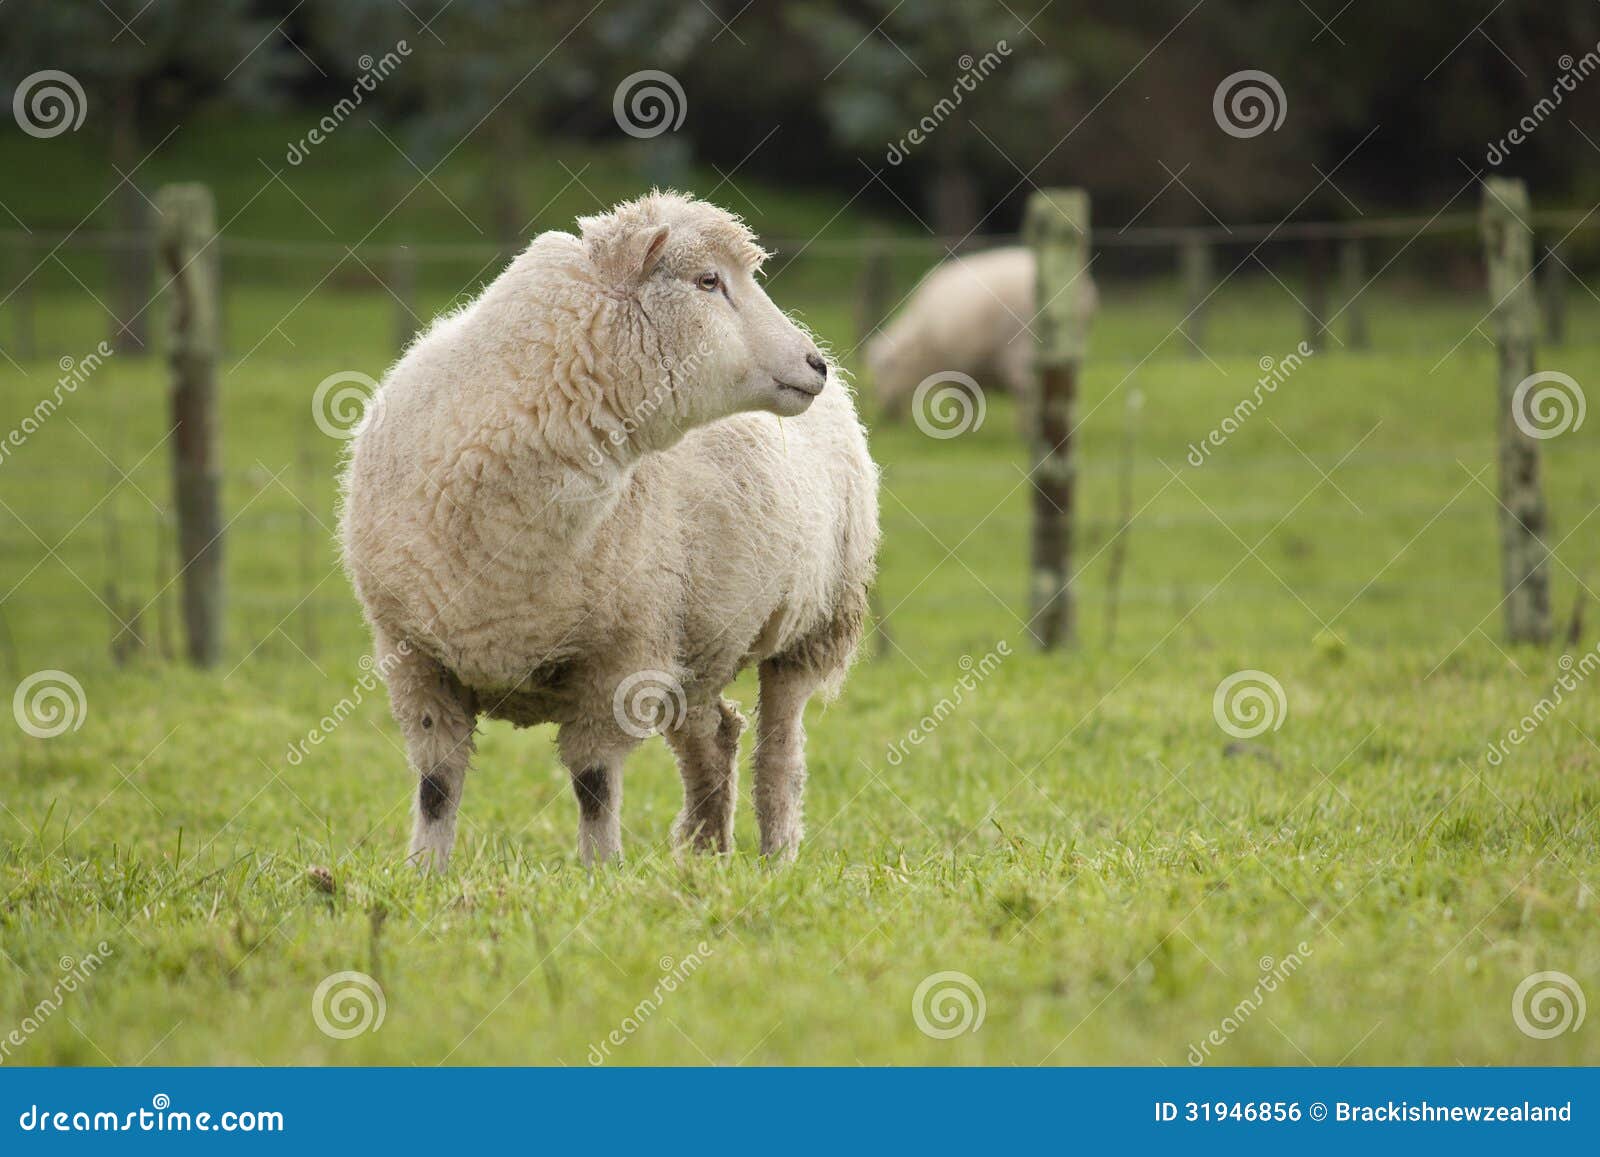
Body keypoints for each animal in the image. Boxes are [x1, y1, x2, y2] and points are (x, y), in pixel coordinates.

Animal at [339, 191, 880, 871]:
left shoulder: (620, 660)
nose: (816, 365)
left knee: (780, 755)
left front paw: (600, 872)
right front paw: (426, 872)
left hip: (810, 623)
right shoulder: (414, 657)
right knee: (716, 737)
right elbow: (437, 786)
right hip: (695, 638)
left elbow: (594, 783)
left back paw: (775, 857)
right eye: (708, 281)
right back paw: (706, 855)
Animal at [864, 246, 1097, 423]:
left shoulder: (957, 366)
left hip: (1022, 347)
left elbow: (962, 400)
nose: (886, 412)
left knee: (1027, 389)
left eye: (886, 368)